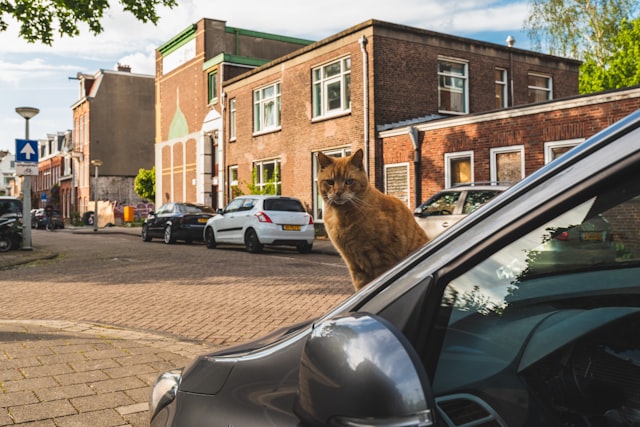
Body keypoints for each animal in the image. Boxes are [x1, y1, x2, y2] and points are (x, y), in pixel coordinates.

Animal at [316, 149, 428, 292]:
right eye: (330, 182)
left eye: (349, 181)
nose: (338, 192)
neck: (342, 216)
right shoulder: (354, 265)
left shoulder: (381, 258)